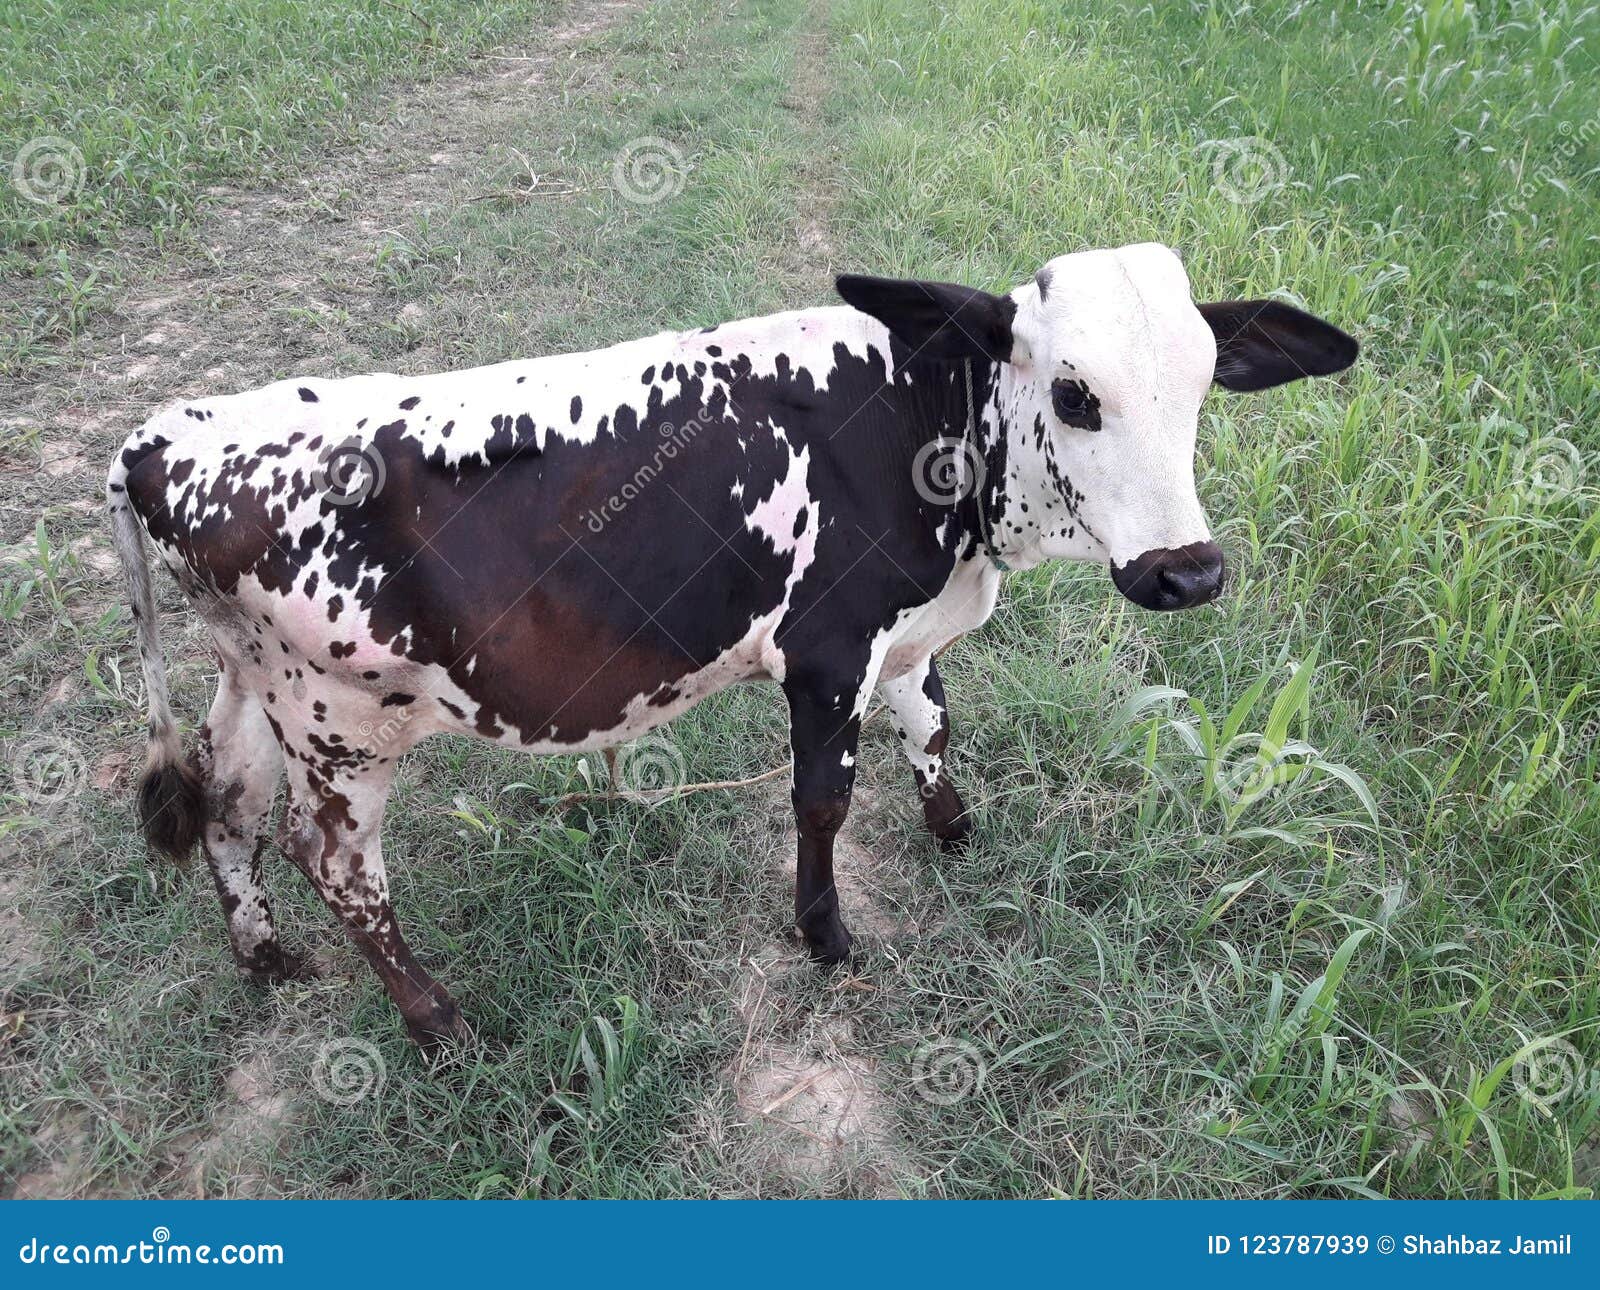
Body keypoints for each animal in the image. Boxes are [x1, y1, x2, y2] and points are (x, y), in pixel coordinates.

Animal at [107, 242, 1357, 1050]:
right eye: (1075, 394)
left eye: (1202, 386)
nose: (1186, 572)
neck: (927, 423)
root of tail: (167, 431)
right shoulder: (829, 647)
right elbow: (823, 801)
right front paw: (826, 934)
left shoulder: (906, 634)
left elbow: (933, 722)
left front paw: (955, 830)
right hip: (343, 721)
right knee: (334, 864)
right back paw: (436, 1020)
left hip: (254, 685)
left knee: (224, 805)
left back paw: (264, 958)